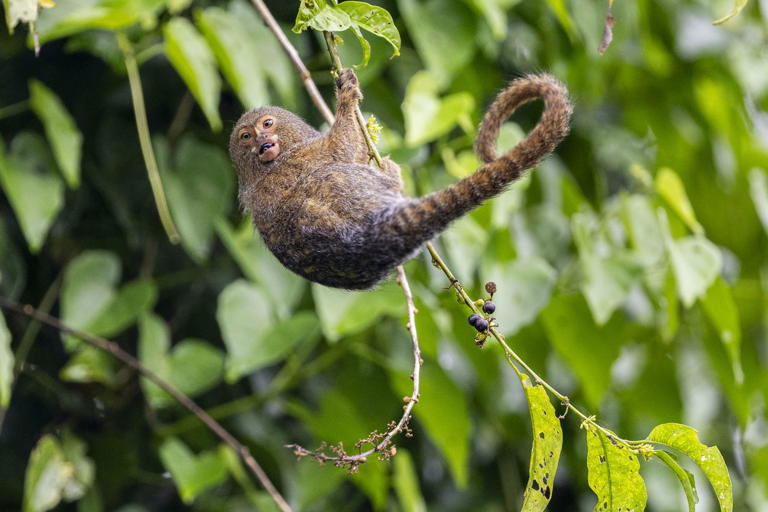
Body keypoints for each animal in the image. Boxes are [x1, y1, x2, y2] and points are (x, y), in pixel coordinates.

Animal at [230, 69, 572, 290]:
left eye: (267, 124)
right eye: (246, 137)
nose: (261, 142)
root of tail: (377, 238)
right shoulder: (297, 161)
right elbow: (339, 150)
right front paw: (346, 97)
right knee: (331, 176)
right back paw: (391, 177)